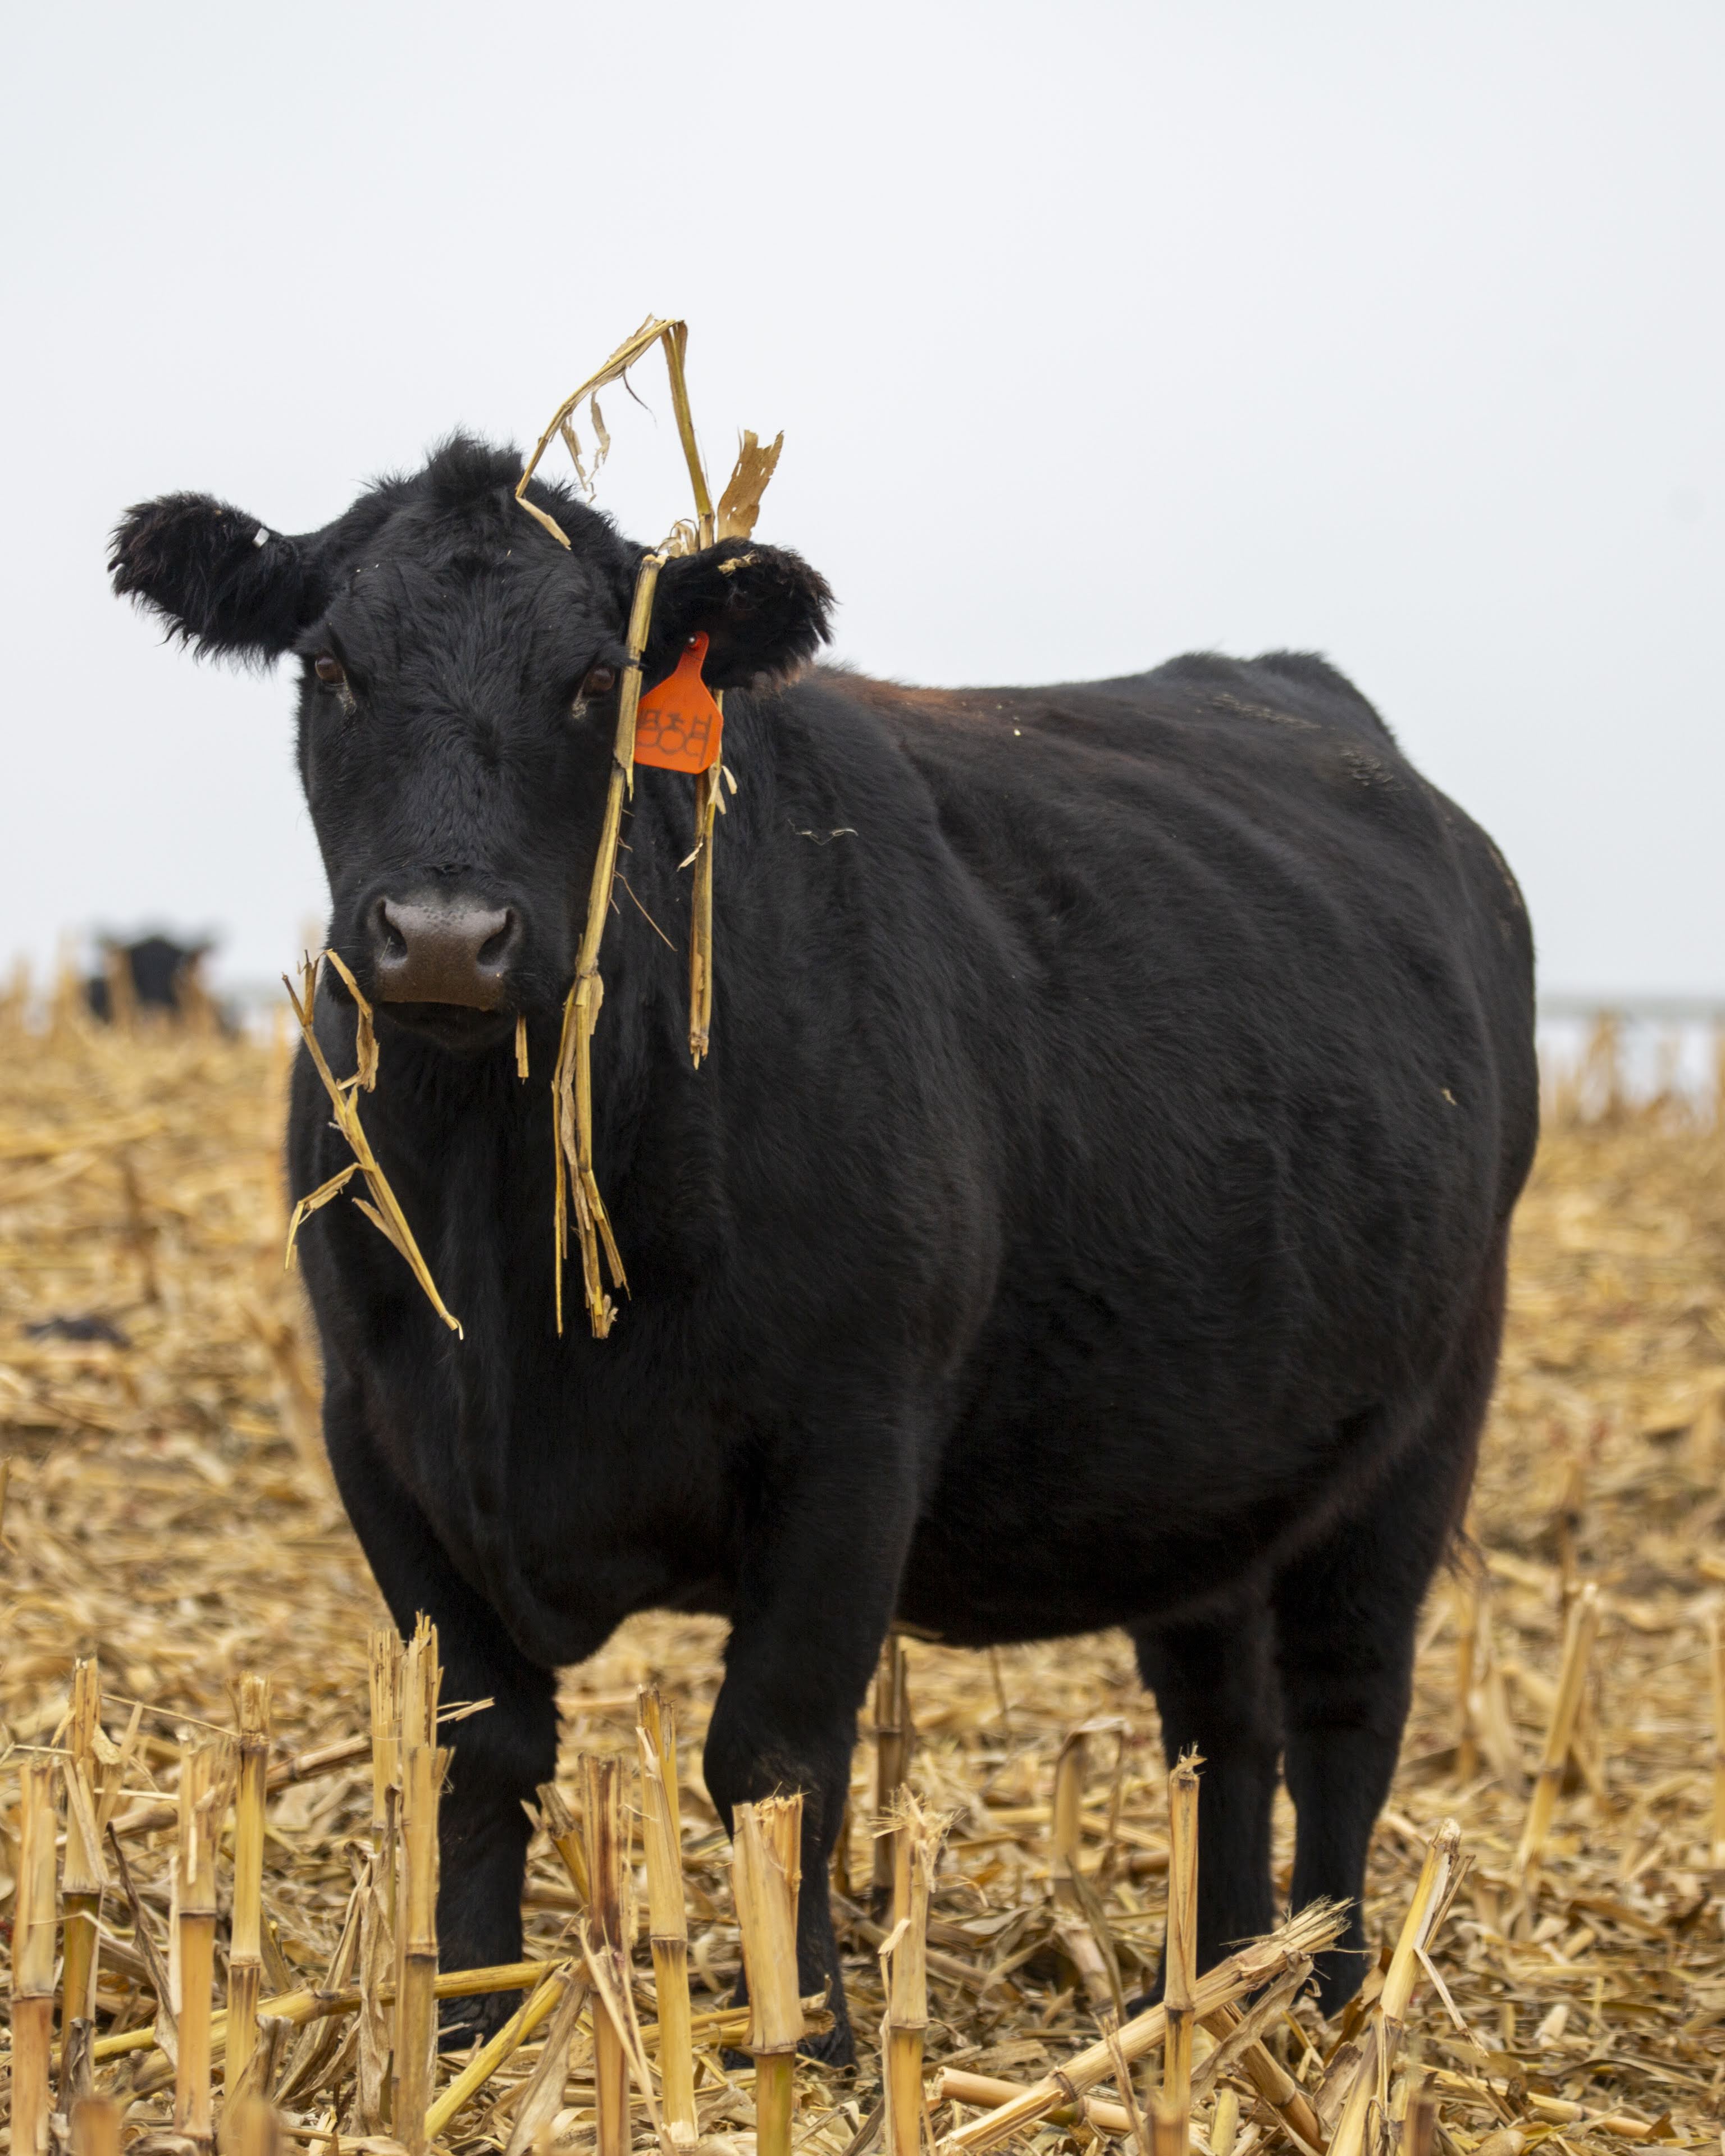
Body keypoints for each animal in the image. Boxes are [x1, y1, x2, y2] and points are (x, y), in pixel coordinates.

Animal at [111, 435, 1538, 2056]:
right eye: (334, 666)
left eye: (596, 680)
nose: (446, 938)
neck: (506, 1208)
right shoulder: (379, 1434)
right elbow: (482, 1747)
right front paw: (465, 2023)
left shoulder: (851, 1442)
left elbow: (775, 1756)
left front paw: (808, 2038)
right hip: (1215, 1451)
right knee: (1216, 1716)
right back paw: (1208, 1987)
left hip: (1425, 1417)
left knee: (1347, 1705)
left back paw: (1336, 2002)